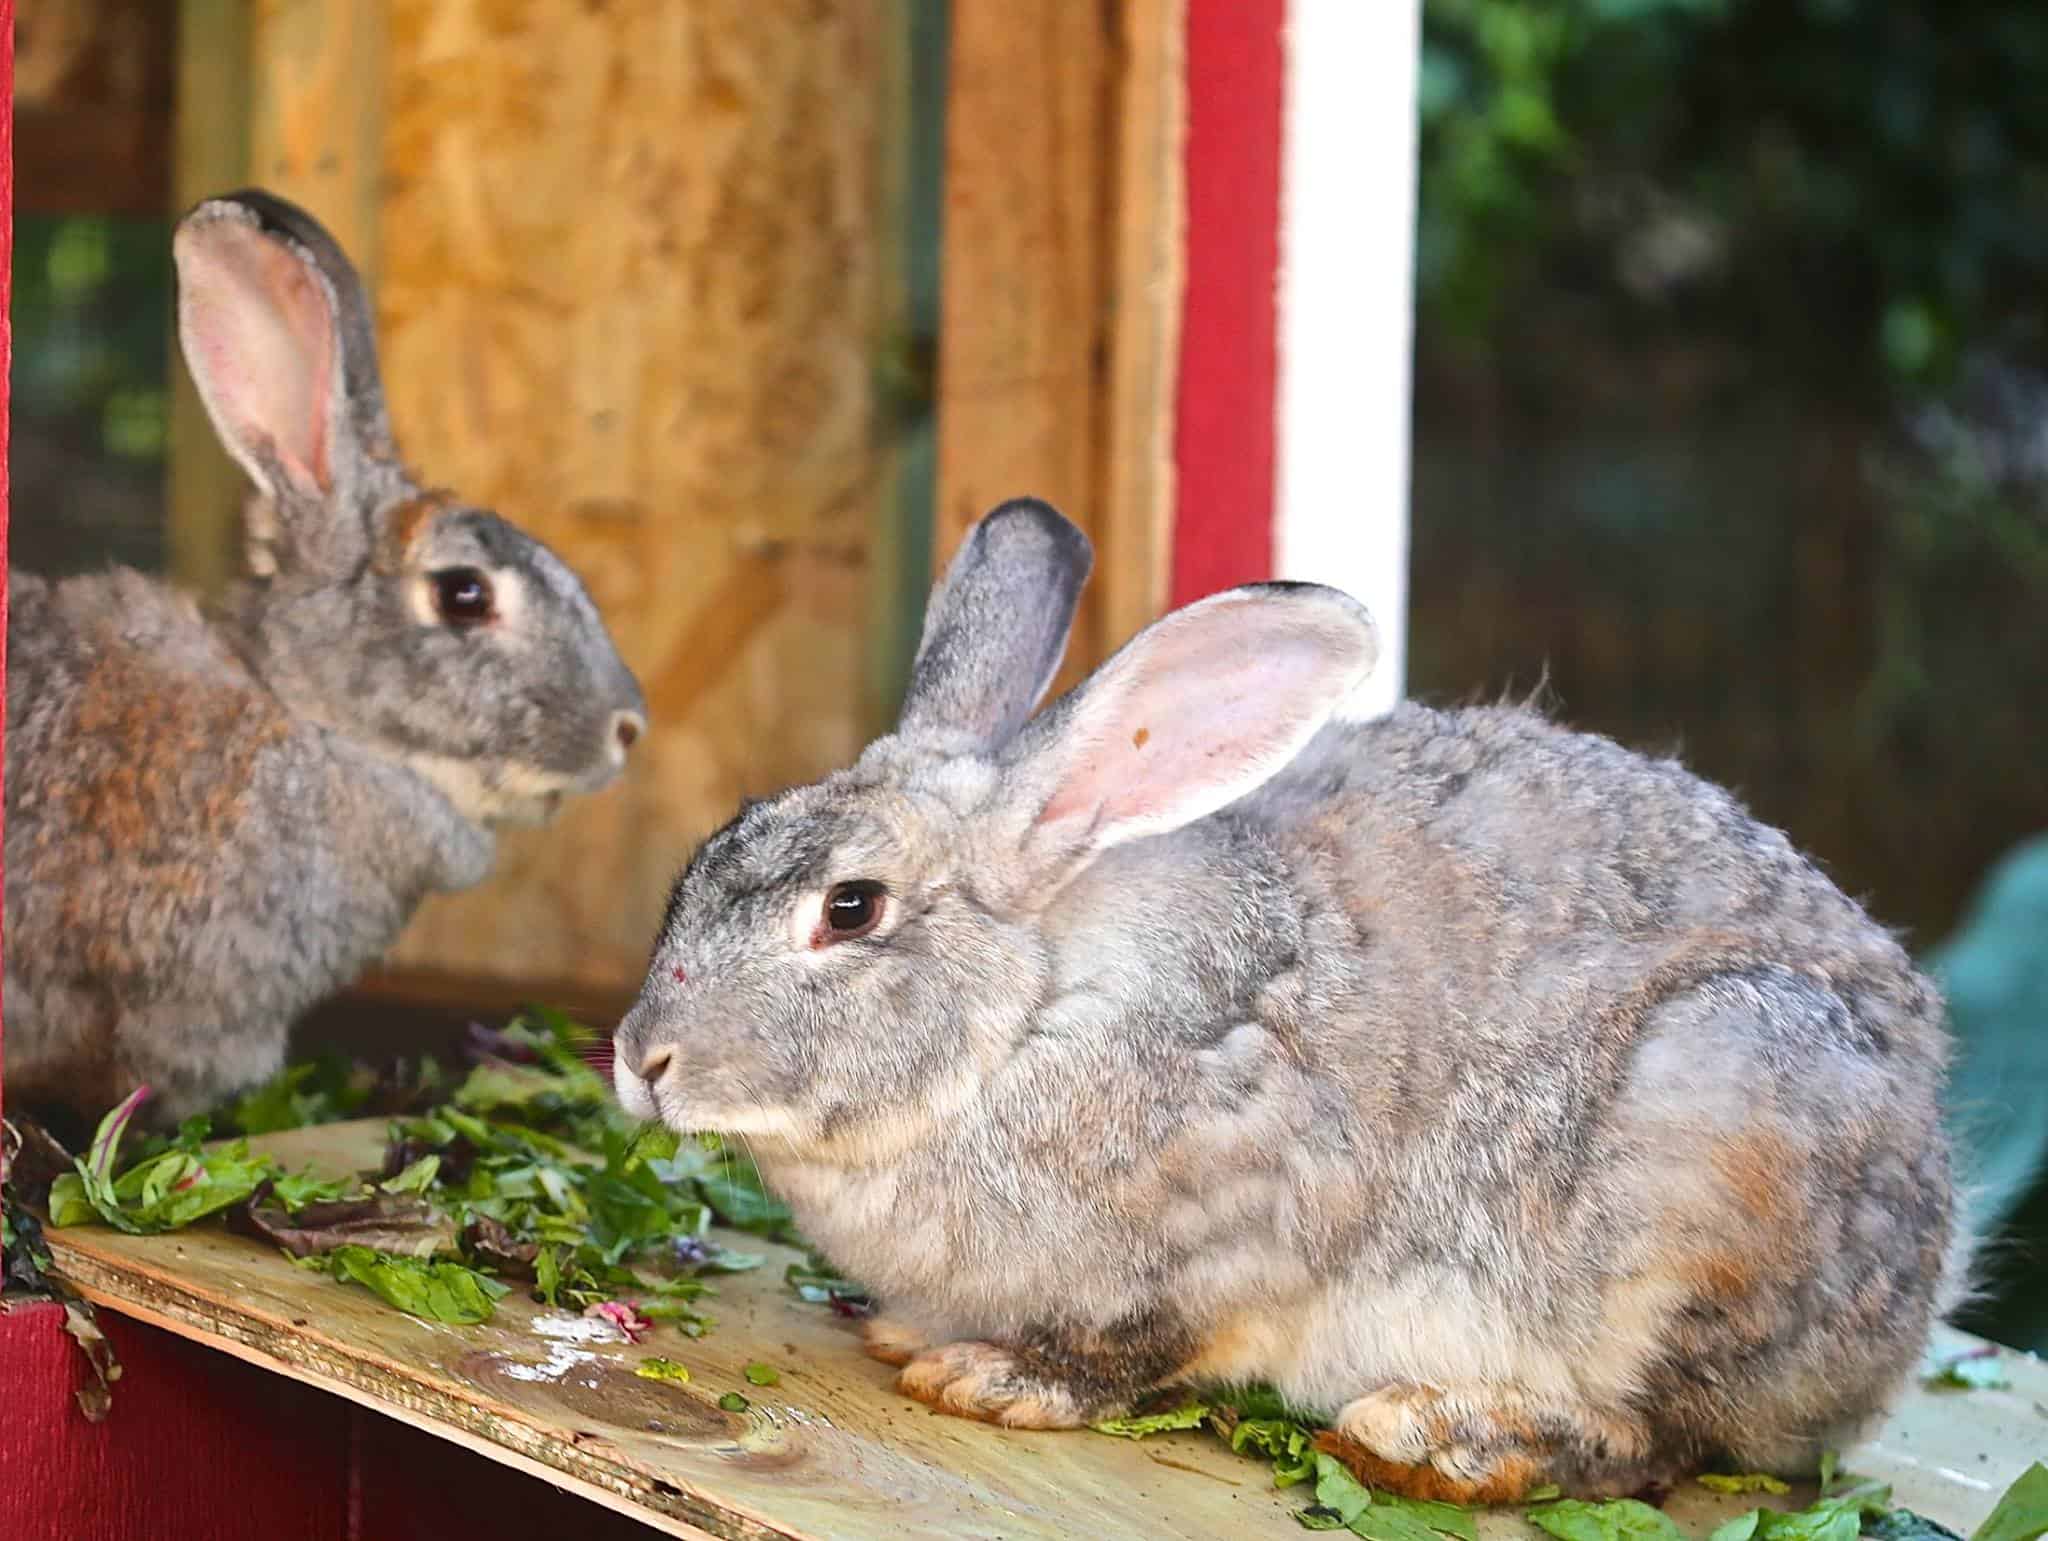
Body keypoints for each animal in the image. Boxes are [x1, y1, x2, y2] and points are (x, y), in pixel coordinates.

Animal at [610, 498, 1959, 1502]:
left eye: (851, 908)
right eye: (721, 840)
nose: (641, 1058)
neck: (1025, 1013)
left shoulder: (1233, 1225)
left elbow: (1141, 1340)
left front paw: (988, 1378)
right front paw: (903, 1329)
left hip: (1709, 1142)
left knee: (1657, 1440)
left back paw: (1446, 1437)